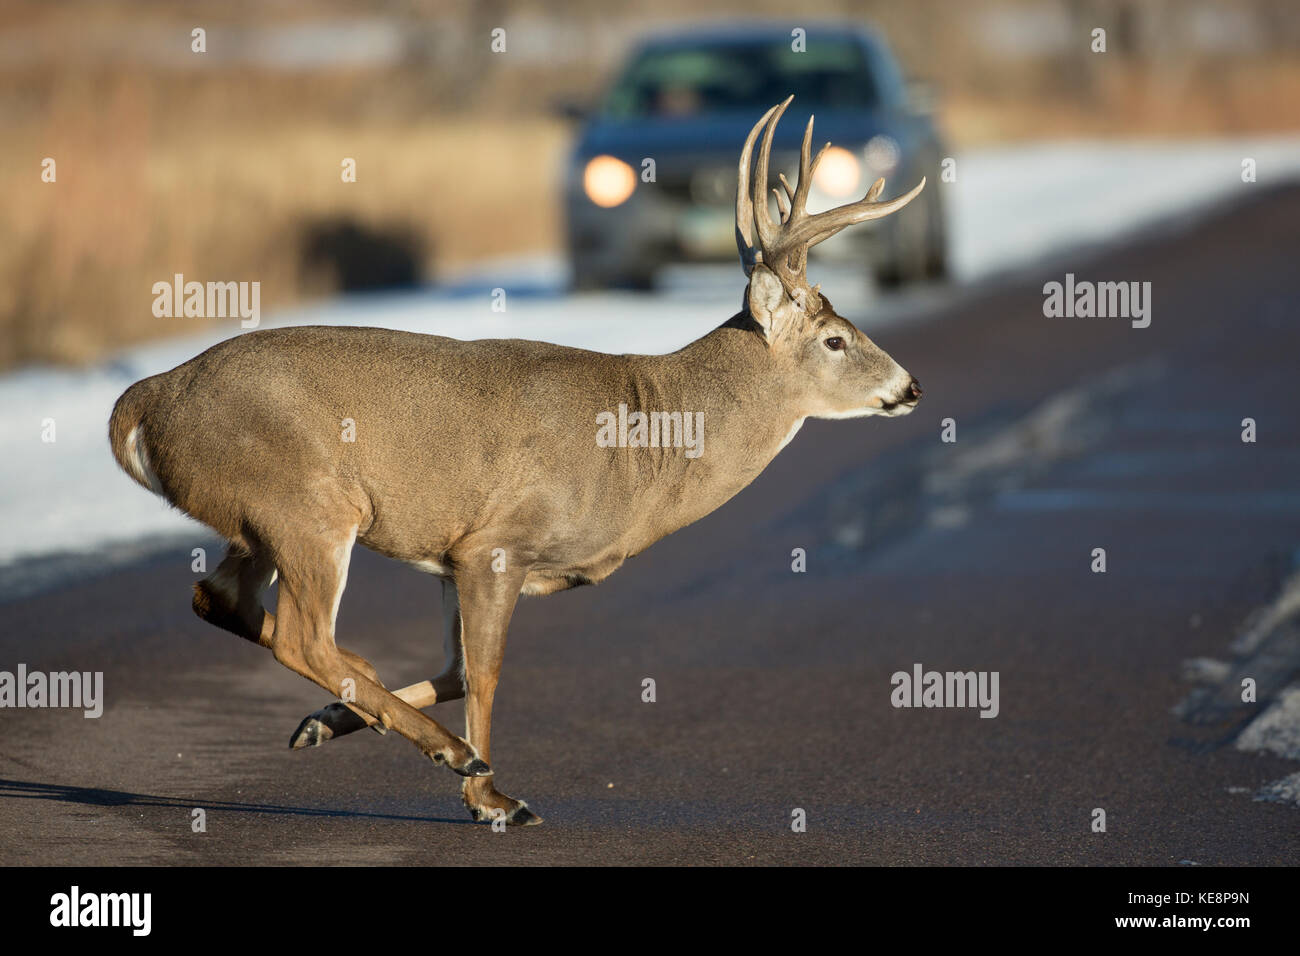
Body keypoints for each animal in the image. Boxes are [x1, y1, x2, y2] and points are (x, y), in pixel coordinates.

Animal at [108, 96, 924, 826]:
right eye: (835, 340)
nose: (910, 387)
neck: (646, 443)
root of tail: (149, 397)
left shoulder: (452, 558)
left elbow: (456, 671)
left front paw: (323, 724)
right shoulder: (495, 543)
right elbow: (487, 675)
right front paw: (491, 796)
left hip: (256, 523)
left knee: (219, 599)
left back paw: (360, 704)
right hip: (307, 505)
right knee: (299, 636)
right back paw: (455, 754)